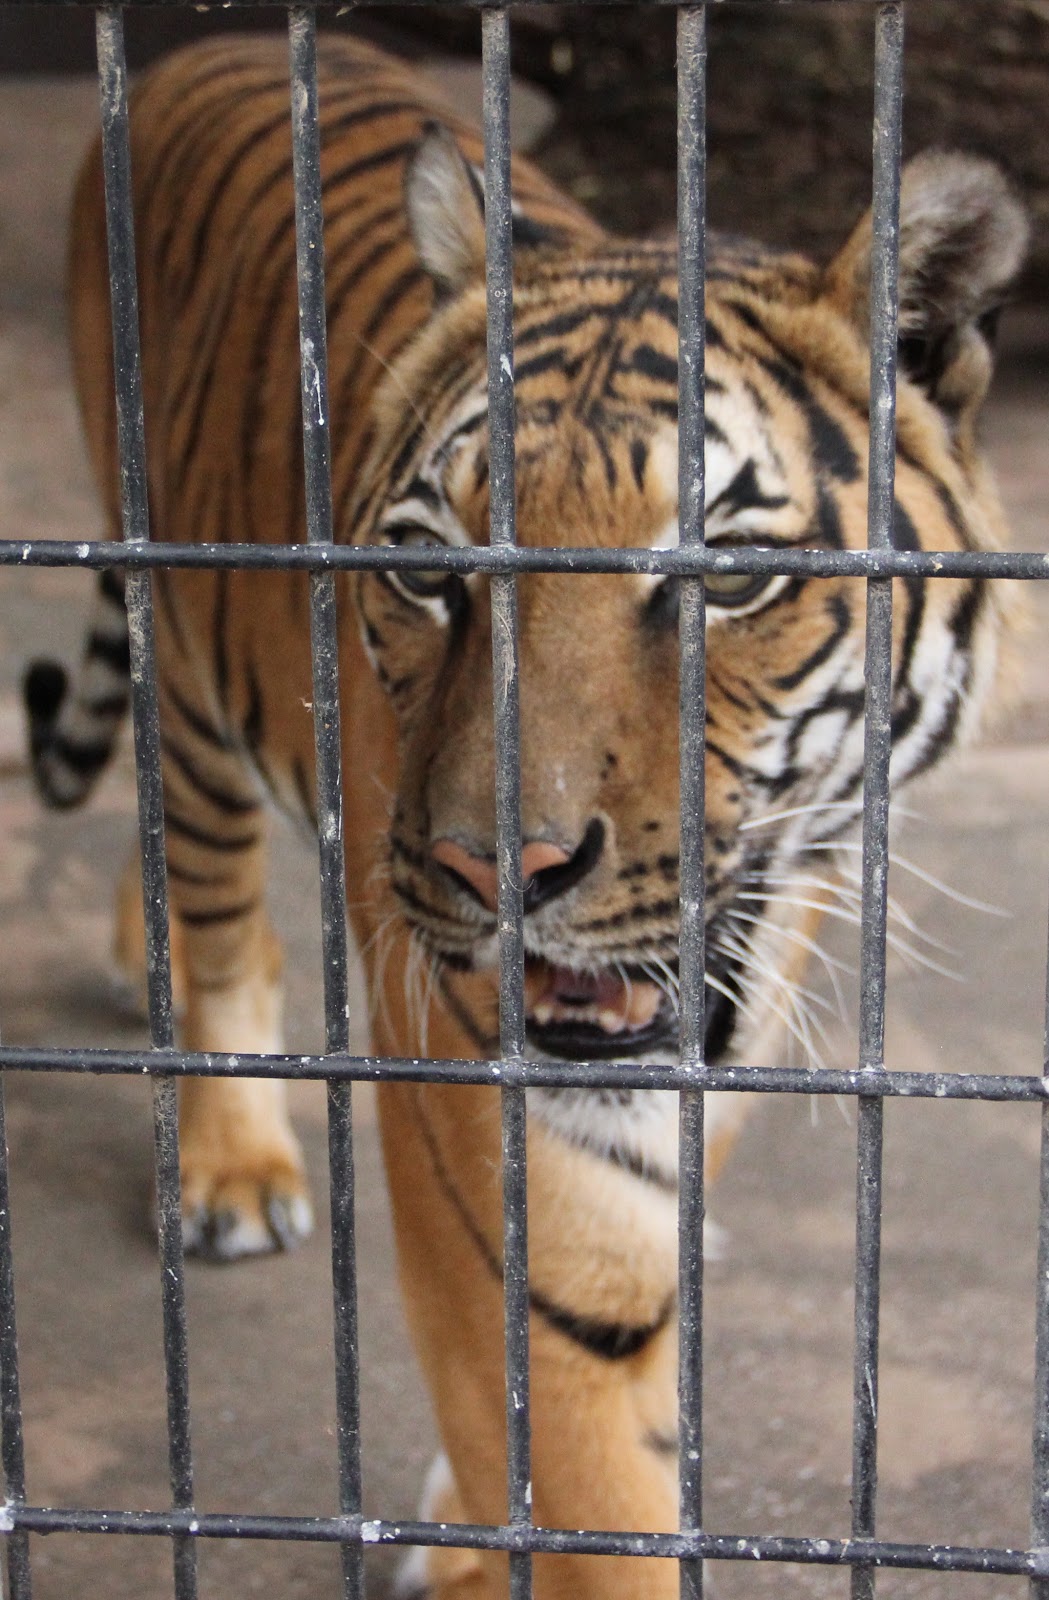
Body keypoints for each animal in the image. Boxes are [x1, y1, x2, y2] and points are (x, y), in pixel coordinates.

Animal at [23, 31, 1026, 1600]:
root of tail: (205, 42)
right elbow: (586, 1468)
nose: (496, 870)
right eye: (430, 570)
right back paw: (231, 1158)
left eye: (728, 576)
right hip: (185, 666)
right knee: (216, 898)